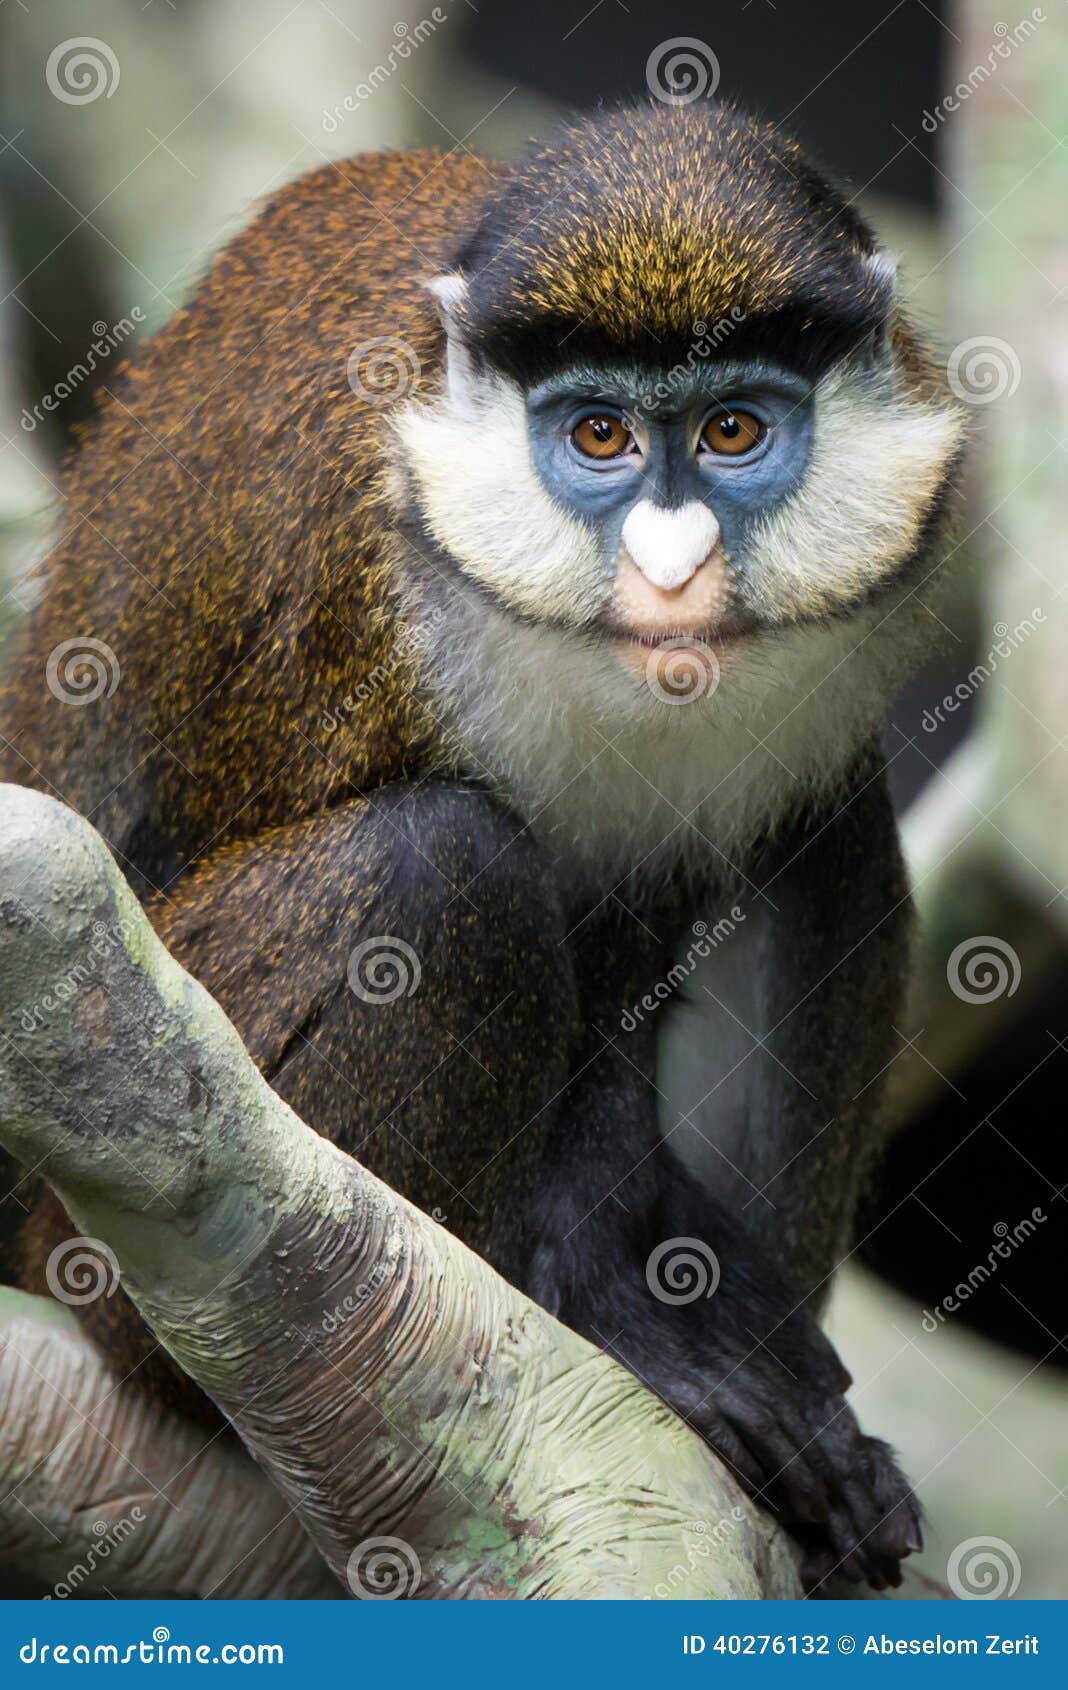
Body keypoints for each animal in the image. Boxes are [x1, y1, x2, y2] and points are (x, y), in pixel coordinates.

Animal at [0, 99, 966, 1593]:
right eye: (602, 436)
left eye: (735, 428)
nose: (674, 567)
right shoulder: (350, 577)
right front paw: (642, 1333)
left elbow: (645, 953)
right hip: (90, 1242)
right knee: (435, 865)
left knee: (838, 822)